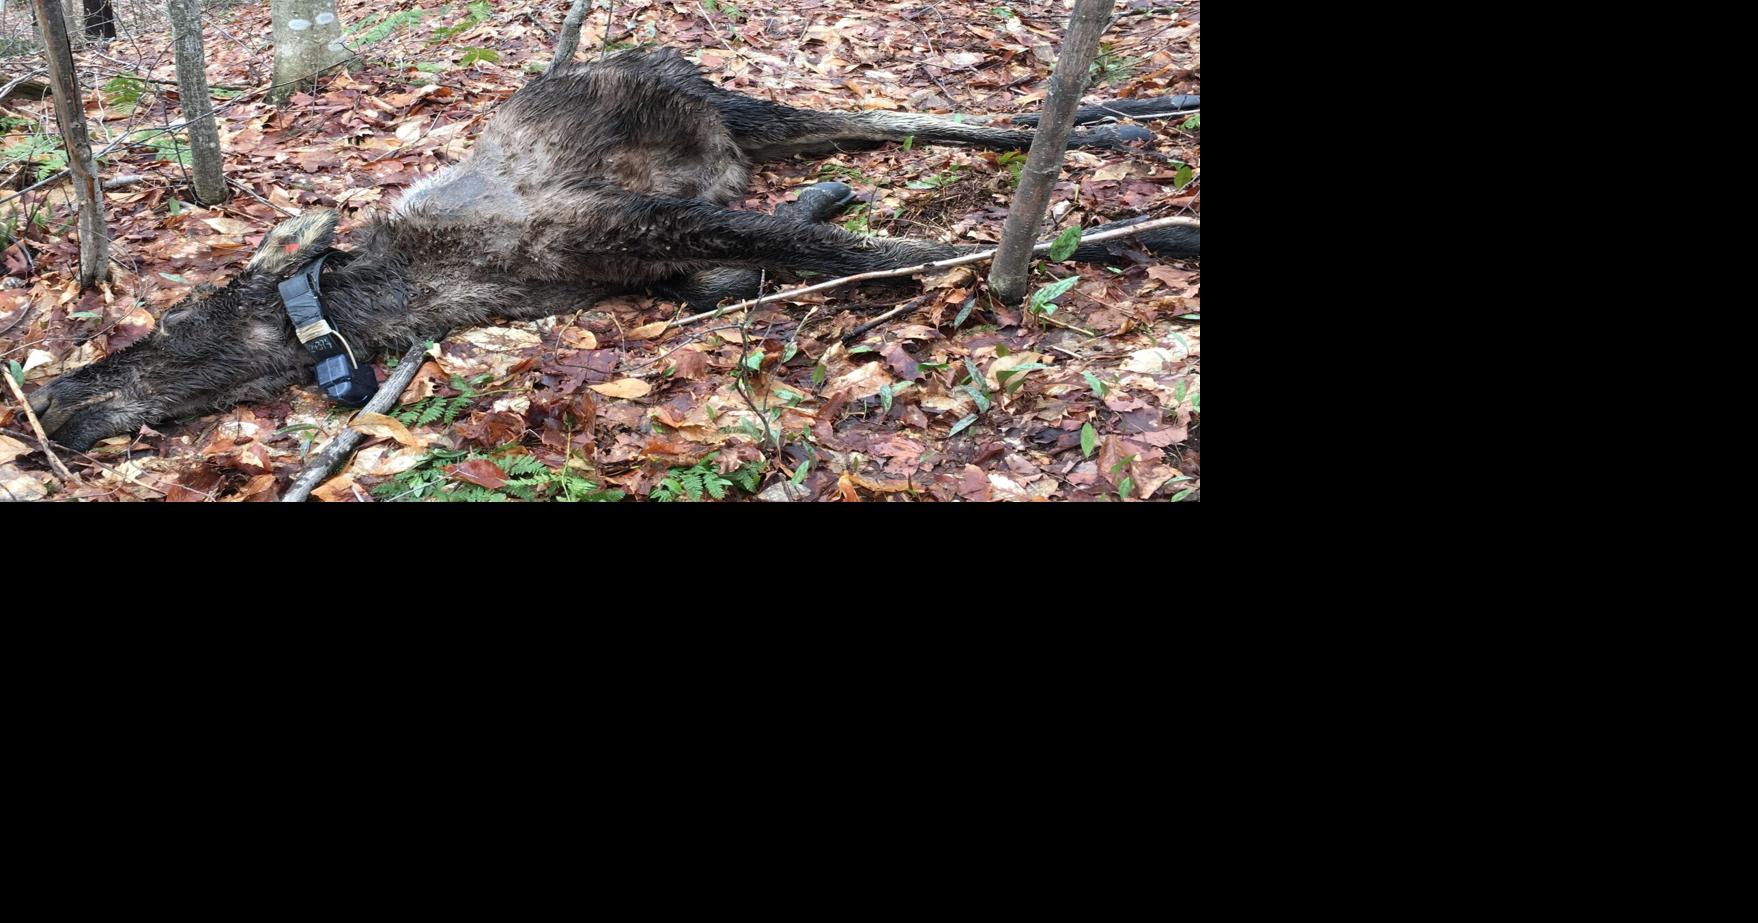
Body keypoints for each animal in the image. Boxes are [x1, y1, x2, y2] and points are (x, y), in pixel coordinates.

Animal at [27, 46, 1199, 451]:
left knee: (938, 120)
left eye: (177, 318)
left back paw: (1117, 135)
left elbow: (900, 248)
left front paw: (1148, 235)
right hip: (752, 128)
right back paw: (1120, 118)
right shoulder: (662, 249)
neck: (400, 293)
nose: (39, 400)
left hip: (742, 109)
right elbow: (778, 258)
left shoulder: (638, 221)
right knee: (916, 124)